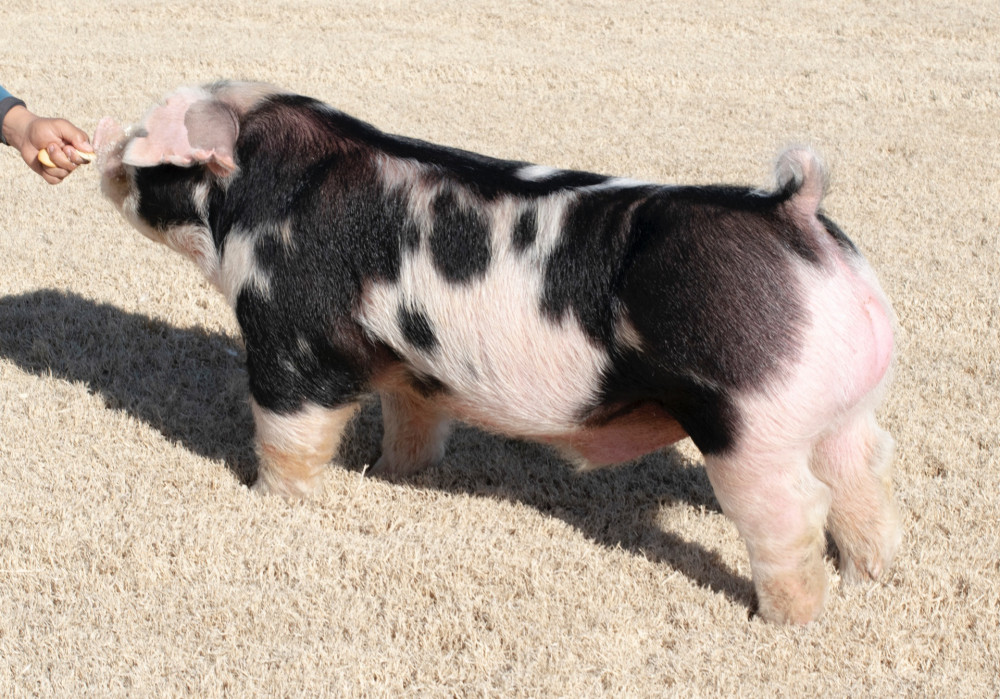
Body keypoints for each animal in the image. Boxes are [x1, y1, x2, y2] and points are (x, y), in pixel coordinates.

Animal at [94, 81, 901, 624]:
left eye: (151, 148)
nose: (102, 151)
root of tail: (795, 214)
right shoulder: (413, 368)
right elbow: (411, 419)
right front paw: (391, 474)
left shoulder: (290, 335)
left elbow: (287, 430)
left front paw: (268, 499)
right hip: (845, 405)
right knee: (863, 480)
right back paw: (875, 580)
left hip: (752, 421)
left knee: (796, 510)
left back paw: (782, 620)